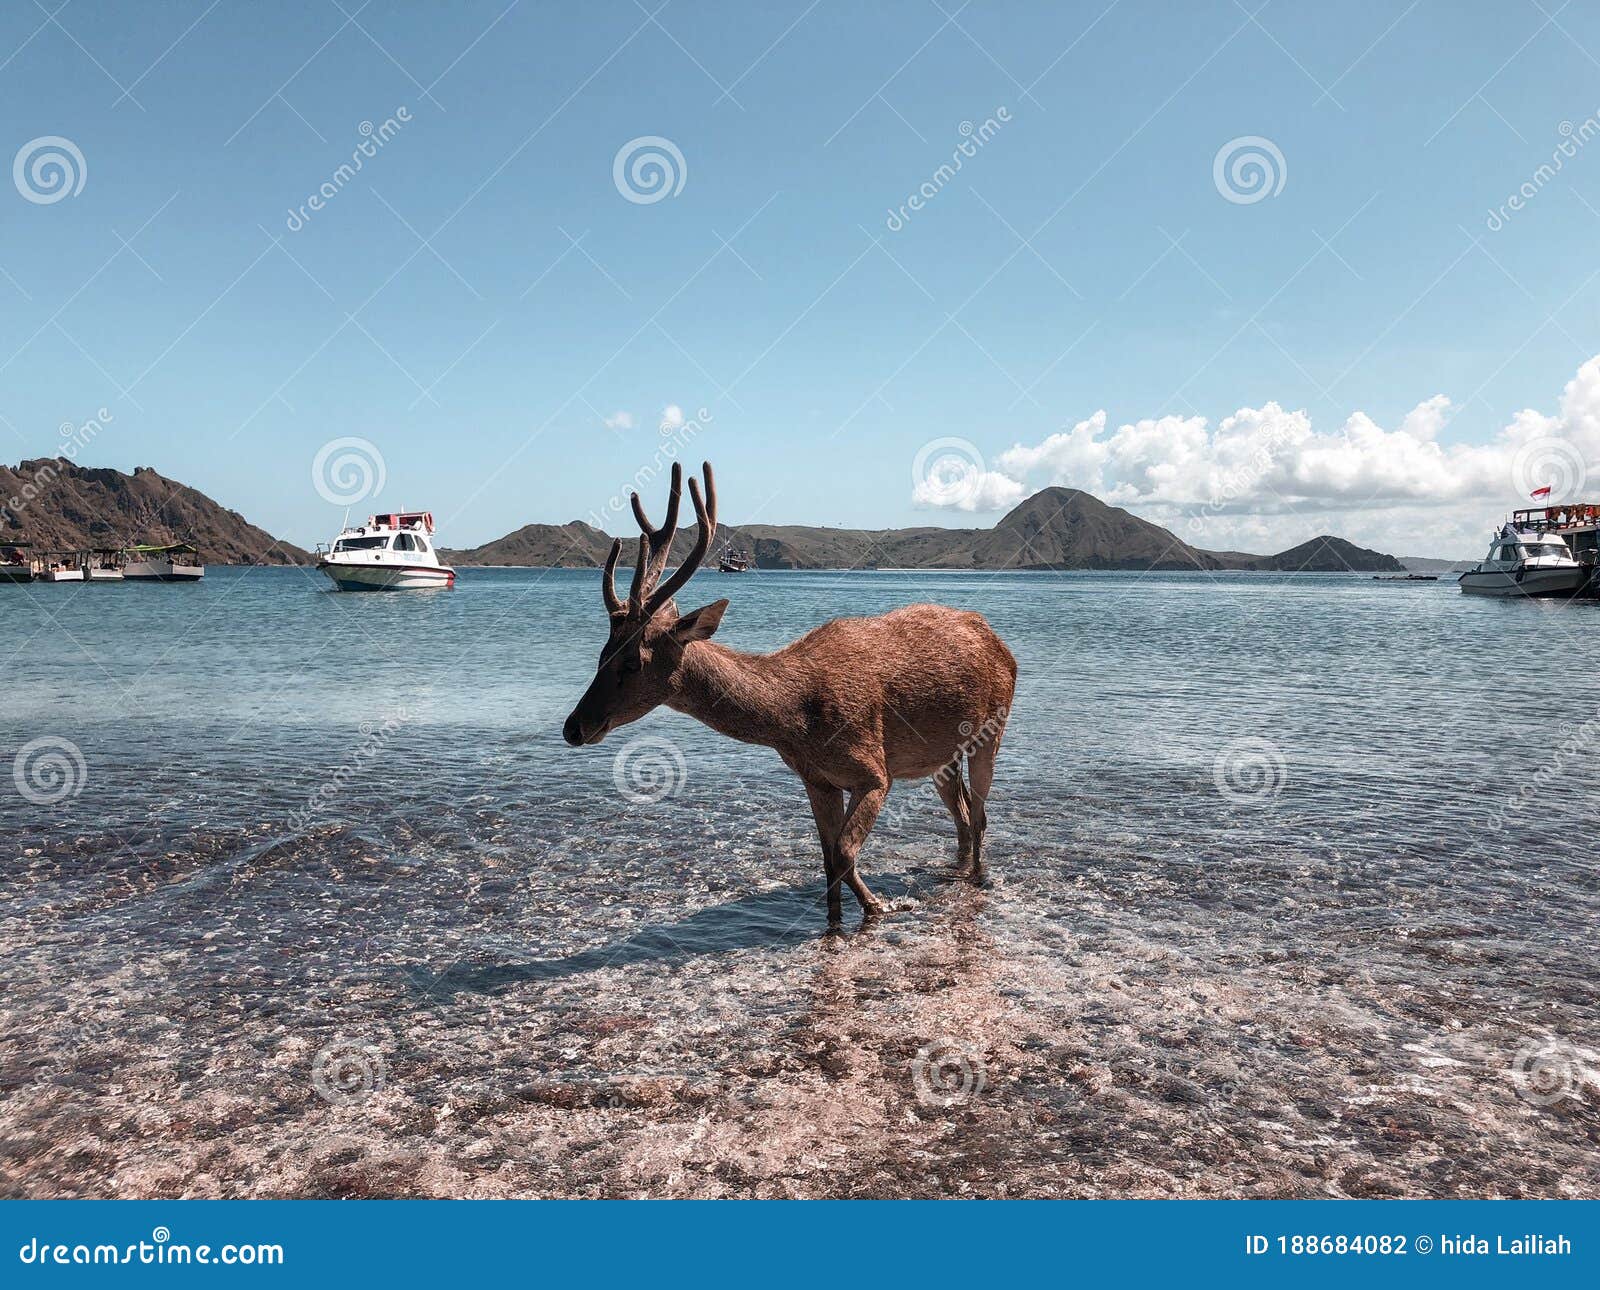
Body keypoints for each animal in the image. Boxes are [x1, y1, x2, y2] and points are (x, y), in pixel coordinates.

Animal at [562, 461, 1017, 924]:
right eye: (601, 653)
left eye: (631, 662)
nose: (573, 727)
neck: (795, 719)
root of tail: (998, 640)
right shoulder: (817, 780)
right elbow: (829, 860)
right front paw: (834, 924)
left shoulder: (874, 770)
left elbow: (845, 853)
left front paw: (879, 907)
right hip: (942, 757)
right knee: (961, 813)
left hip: (992, 729)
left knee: (980, 815)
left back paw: (976, 877)